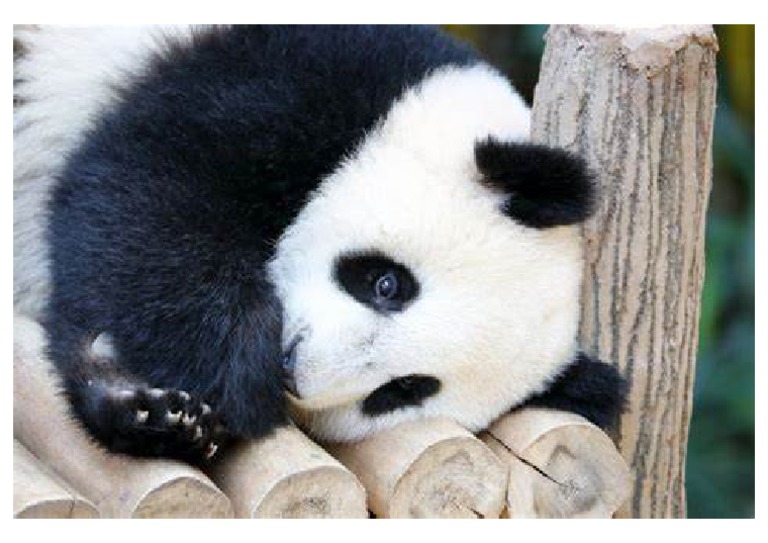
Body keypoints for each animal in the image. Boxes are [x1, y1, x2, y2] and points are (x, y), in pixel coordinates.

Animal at [13, 25, 626, 465]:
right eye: (388, 284)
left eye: (403, 390)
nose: (291, 370)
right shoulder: (292, 76)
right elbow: (145, 189)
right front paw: (237, 371)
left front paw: (157, 412)